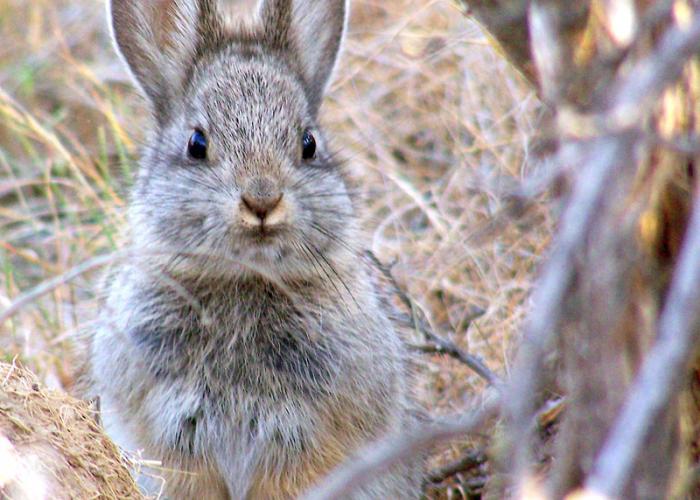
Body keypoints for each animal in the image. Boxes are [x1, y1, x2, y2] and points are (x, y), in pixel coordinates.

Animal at [86, 0, 424, 498]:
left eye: (308, 143)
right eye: (197, 143)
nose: (262, 200)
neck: (245, 277)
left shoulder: (306, 436)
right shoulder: (172, 435)